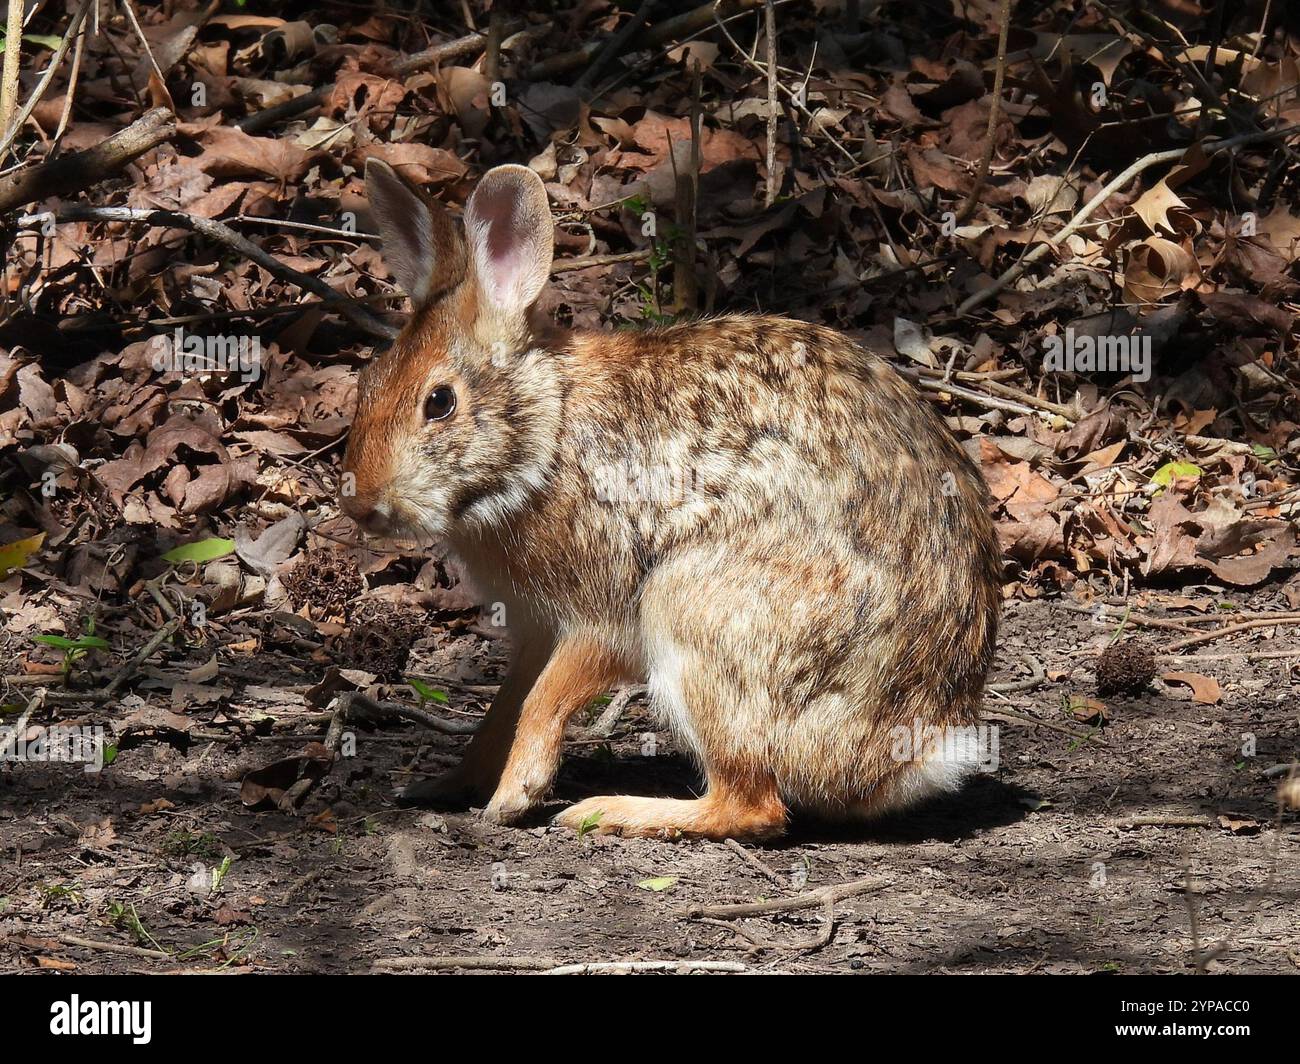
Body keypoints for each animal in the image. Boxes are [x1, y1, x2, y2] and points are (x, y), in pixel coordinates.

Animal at [339, 158, 1003, 840]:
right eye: (370, 380)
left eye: (439, 402)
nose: (361, 503)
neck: (547, 429)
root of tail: (906, 759)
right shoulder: (533, 629)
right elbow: (504, 708)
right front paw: (447, 786)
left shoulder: (601, 611)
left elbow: (545, 700)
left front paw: (513, 799)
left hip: (695, 607)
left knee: (752, 804)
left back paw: (610, 811)